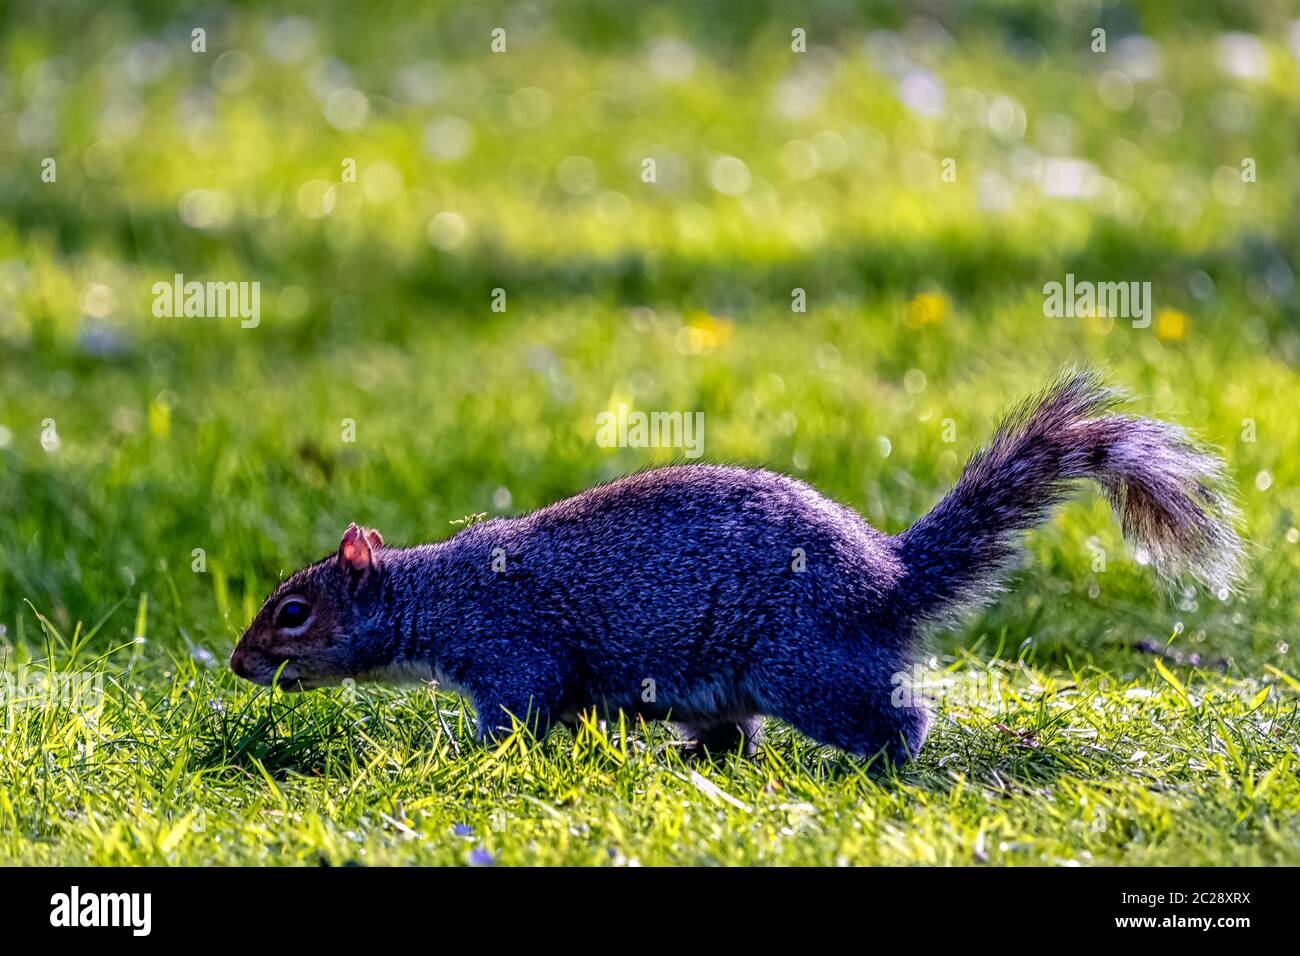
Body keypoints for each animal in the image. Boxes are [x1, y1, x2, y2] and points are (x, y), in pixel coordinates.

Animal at [231, 369, 1242, 763]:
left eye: (292, 610)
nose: (238, 663)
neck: (432, 591)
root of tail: (889, 576)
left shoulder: (512, 647)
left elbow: (514, 713)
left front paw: (458, 752)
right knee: (733, 735)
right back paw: (686, 756)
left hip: (804, 665)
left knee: (893, 716)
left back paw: (882, 766)